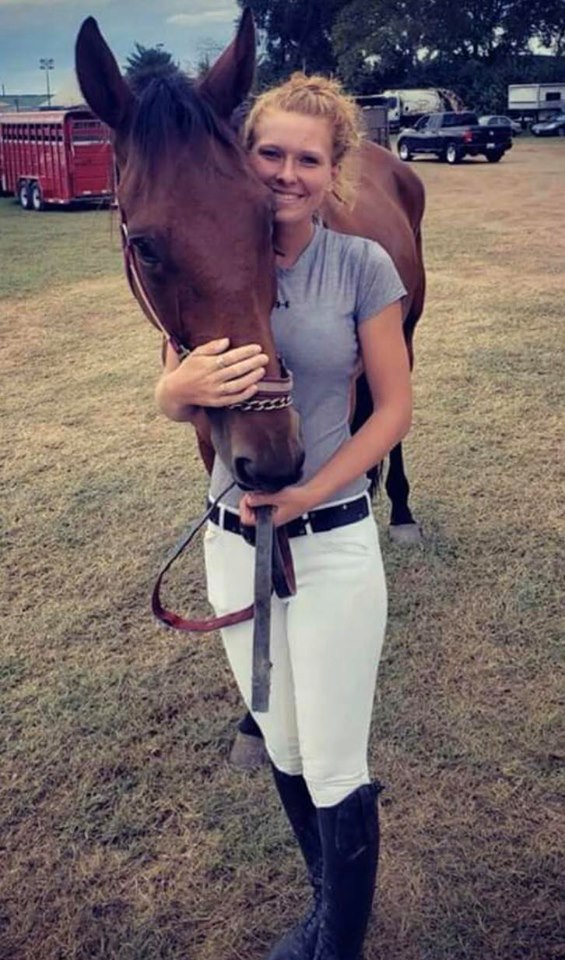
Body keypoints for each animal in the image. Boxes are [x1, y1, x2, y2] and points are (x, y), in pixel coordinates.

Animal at [75, 7, 426, 541]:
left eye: (267, 219)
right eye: (145, 247)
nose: (272, 457)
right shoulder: (211, 439)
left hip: (404, 333)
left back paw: (401, 509)